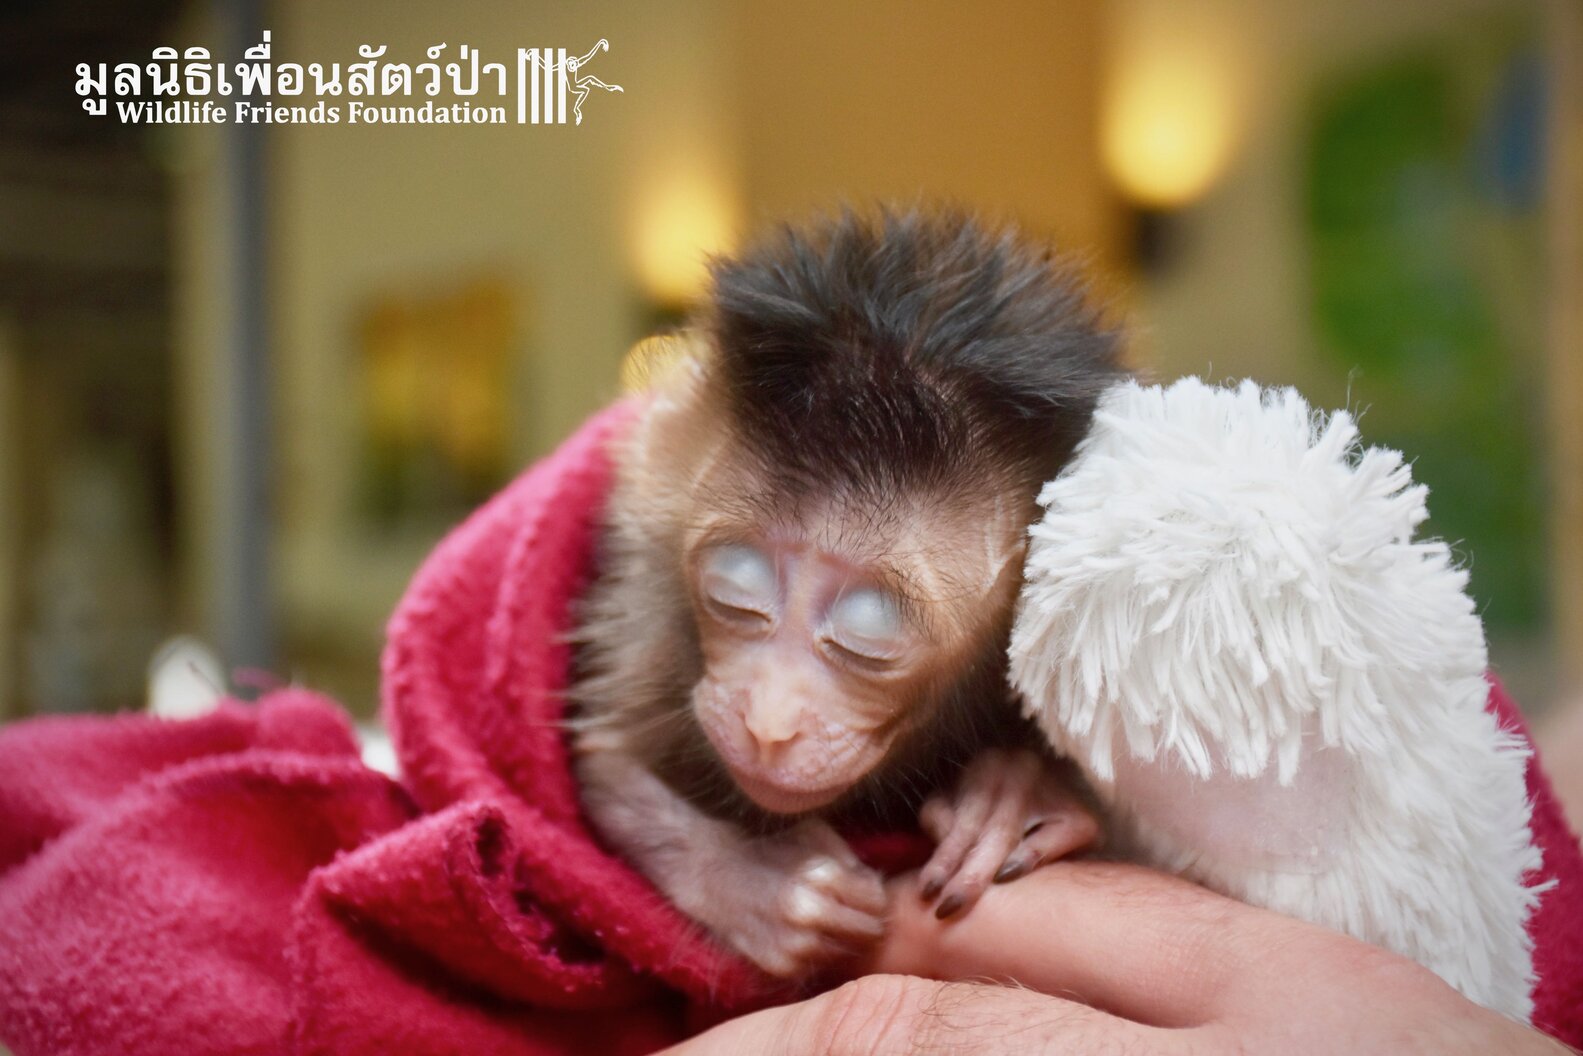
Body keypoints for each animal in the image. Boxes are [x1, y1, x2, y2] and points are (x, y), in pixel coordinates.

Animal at [568, 206, 1125, 980]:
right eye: (735, 596)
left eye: (866, 641)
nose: (768, 725)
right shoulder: (647, 597)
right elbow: (605, 763)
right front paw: (759, 882)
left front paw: (1010, 799)